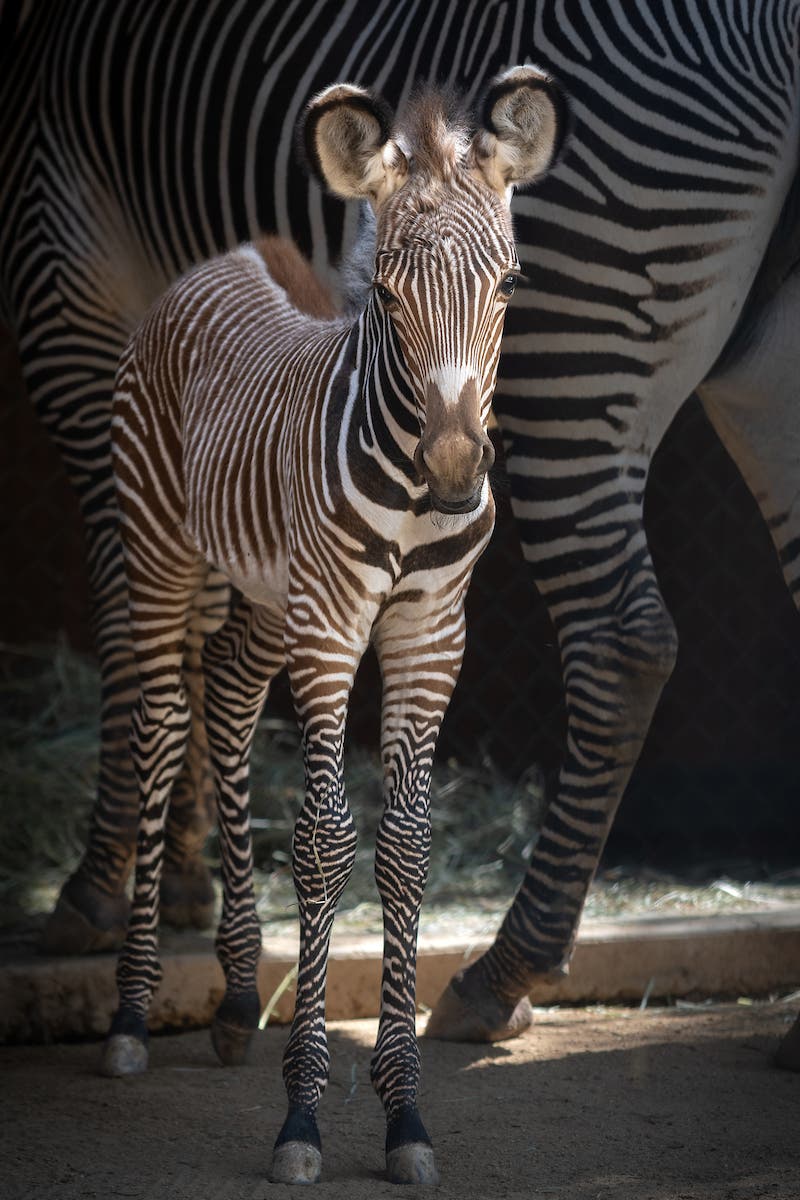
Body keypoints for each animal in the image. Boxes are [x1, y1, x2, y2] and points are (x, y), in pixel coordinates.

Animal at [1, 1, 799, 1072]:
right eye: (381, 293)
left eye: (508, 286)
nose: (457, 473)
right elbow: (196, 648)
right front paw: (180, 884)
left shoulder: (71, 312)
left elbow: (140, 641)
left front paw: (105, 883)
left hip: (587, 329)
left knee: (621, 640)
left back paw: (498, 972)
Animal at [100, 72, 565, 1186]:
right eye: (388, 295)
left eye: (509, 286)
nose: (455, 471)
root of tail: (233, 254)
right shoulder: (330, 628)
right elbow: (320, 844)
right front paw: (303, 1117)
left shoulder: (430, 637)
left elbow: (402, 847)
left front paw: (404, 1115)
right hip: (161, 552)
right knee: (158, 731)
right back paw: (132, 1017)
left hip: (267, 597)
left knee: (225, 704)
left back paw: (234, 1002)